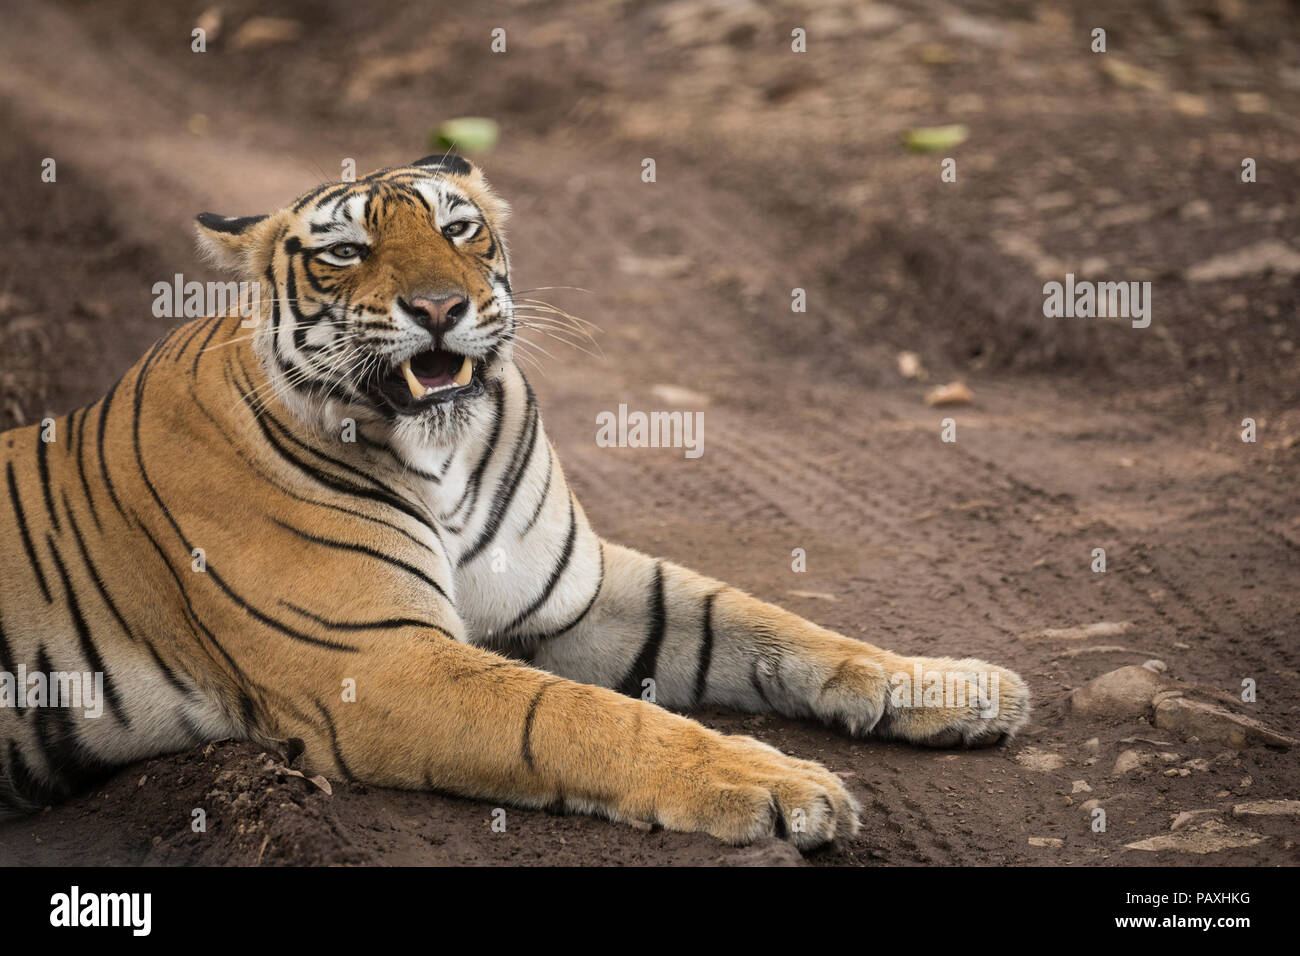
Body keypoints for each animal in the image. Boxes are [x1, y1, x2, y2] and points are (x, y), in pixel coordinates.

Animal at [0, 154, 1029, 849]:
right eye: (346, 252)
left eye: (458, 230)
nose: (438, 308)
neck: (440, 456)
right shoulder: (379, 660)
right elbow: (577, 716)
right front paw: (774, 783)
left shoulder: (575, 592)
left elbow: (765, 624)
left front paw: (955, 685)